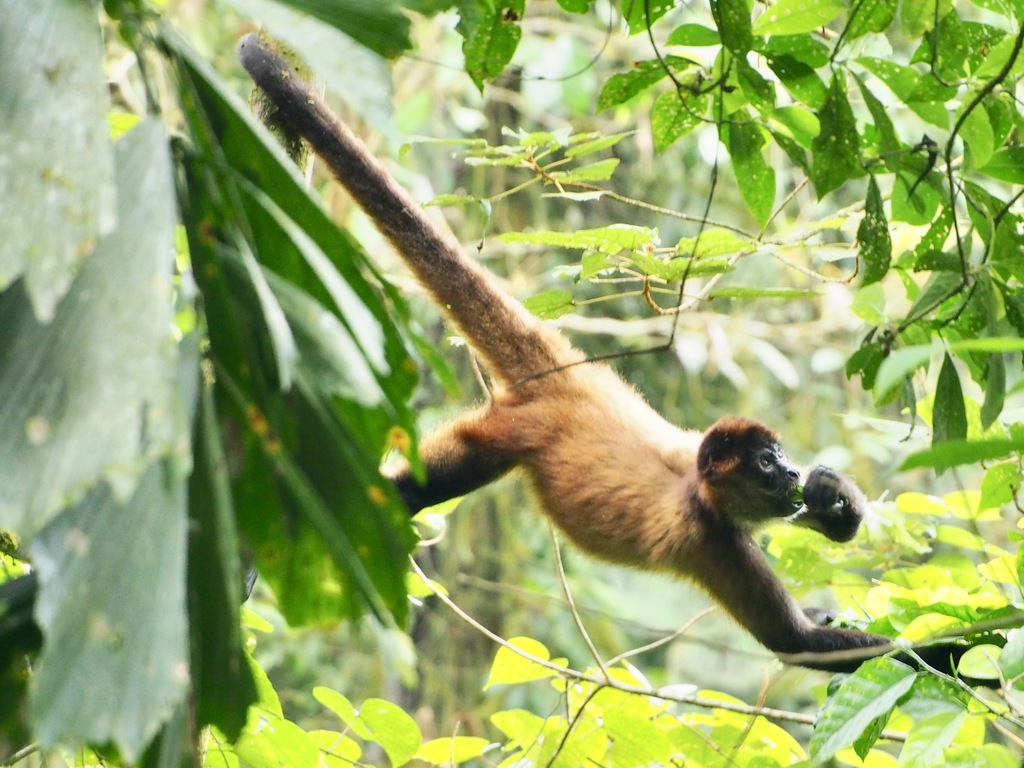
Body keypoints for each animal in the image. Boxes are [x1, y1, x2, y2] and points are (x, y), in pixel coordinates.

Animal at [235, 35, 979, 676]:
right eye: (768, 465)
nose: (794, 471)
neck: (697, 484)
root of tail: (566, 385)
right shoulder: (713, 541)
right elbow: (800, 646)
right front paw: (982, 650)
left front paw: (832, 497)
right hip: (497, 436)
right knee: (409, 489)